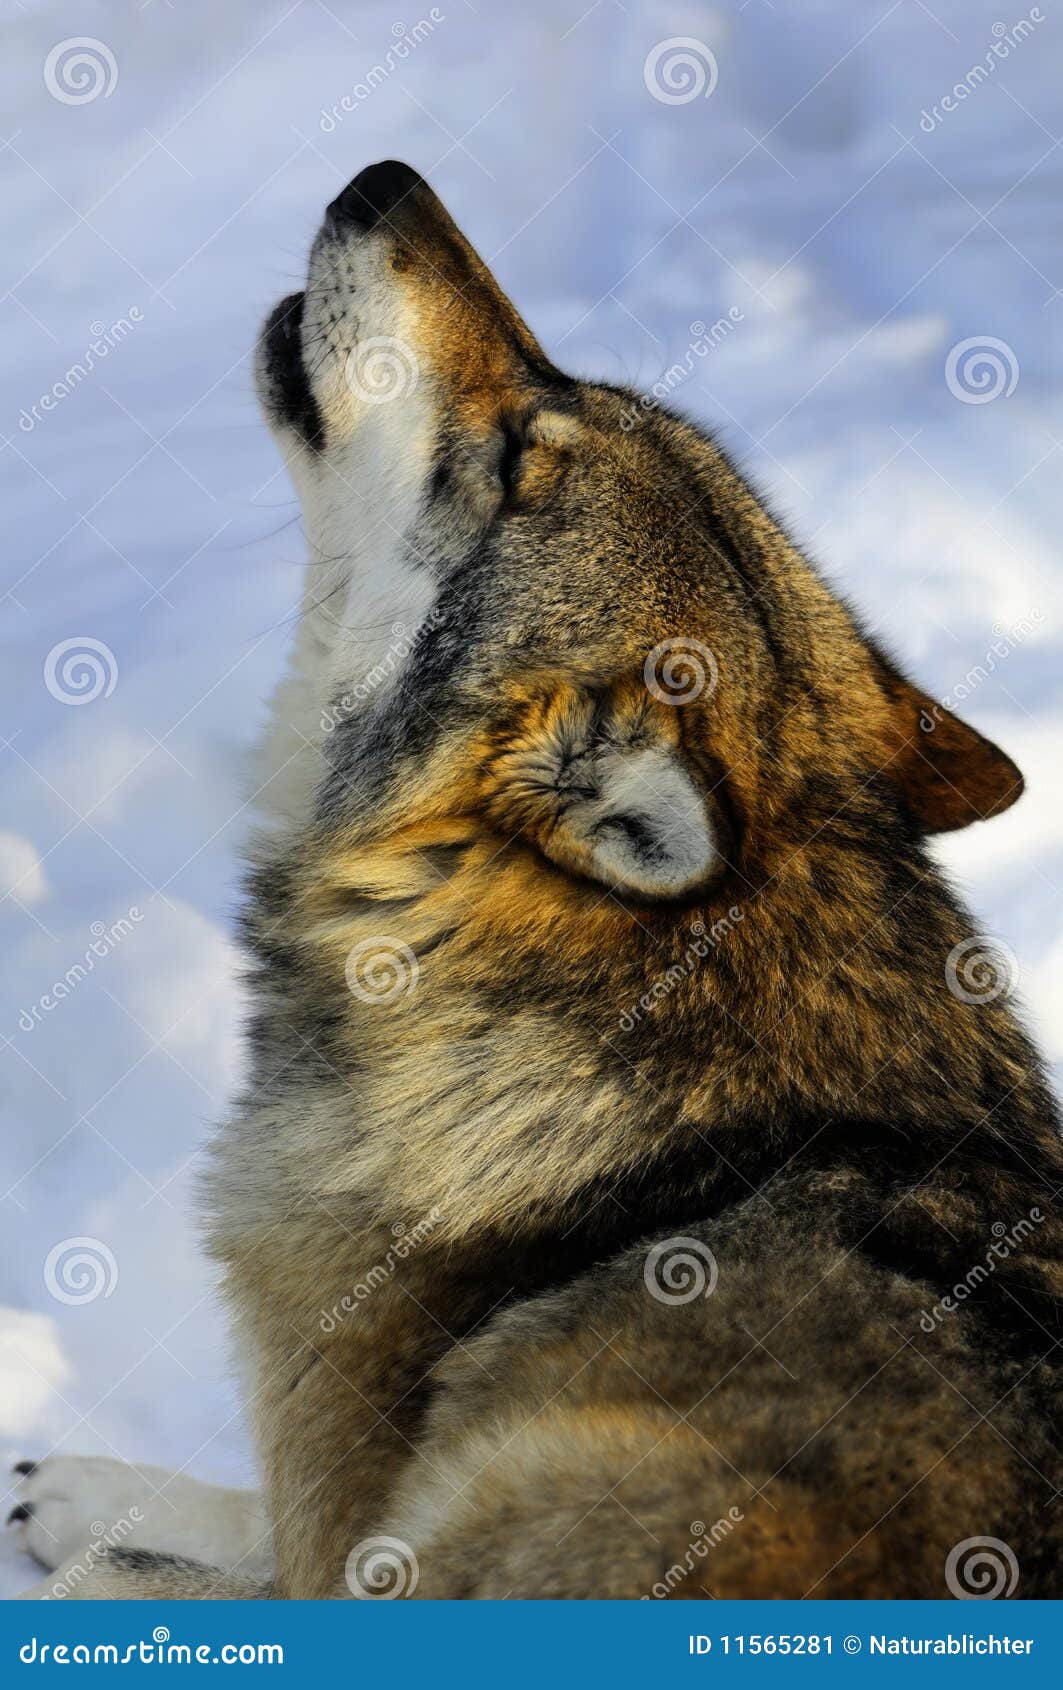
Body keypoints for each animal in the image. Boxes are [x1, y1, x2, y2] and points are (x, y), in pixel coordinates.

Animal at [12, 161, 1063, 1600]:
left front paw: (98, 1519)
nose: (384, 182)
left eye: (513, 462)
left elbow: (215, 1554)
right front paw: (75, 1490)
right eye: (559, 390)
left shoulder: (341, 1509)